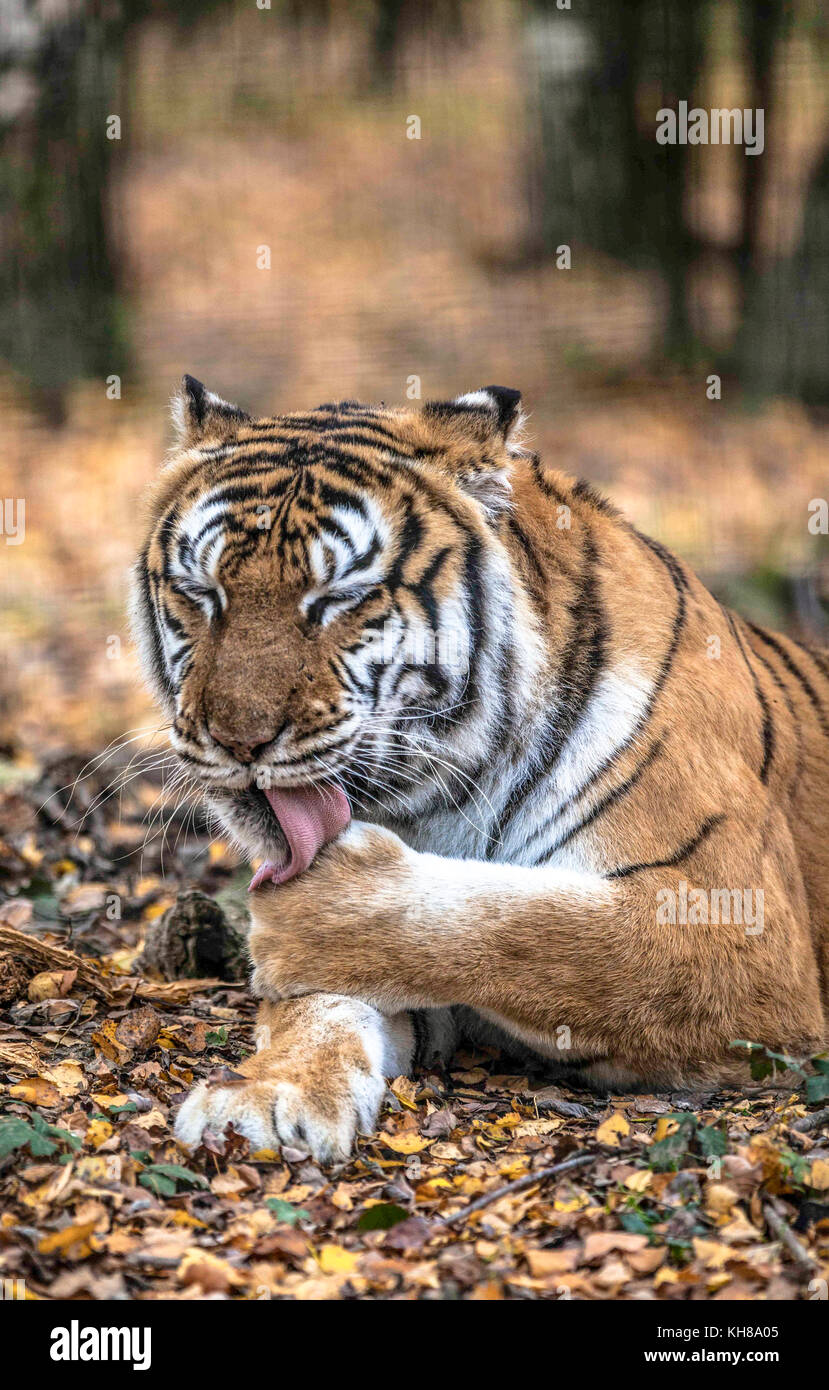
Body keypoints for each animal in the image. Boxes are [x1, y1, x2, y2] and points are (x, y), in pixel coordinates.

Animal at [131, 374, 829, 1162]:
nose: (236, 740)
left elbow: (527, 926)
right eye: (201, 593)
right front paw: (266, 1093)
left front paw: (311, 910)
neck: (432, 801)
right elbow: (327, 1006)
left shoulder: (737, 921)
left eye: (338, 598)